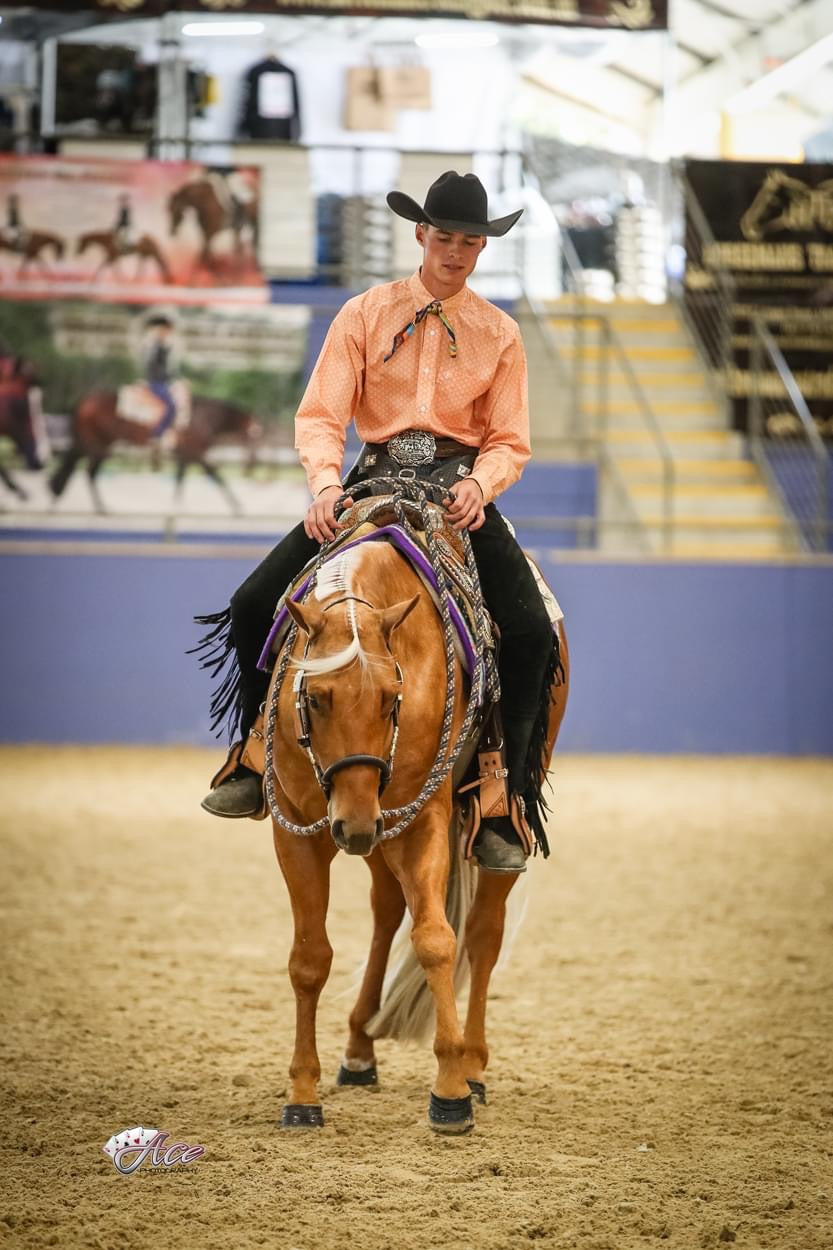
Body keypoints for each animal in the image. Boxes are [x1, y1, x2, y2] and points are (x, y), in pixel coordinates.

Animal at [48, 389, 261, 514]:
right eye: (255, 432)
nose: (253, 462)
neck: (205, 417)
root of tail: (84, 401)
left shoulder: (186, 455)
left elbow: (180, 478)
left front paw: (176, 507)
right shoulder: (195, 453)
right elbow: (216, 476)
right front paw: (237, 506)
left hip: (95, 442)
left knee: (76, 465)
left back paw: (58, 494)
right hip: (97, 444)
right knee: (89, 471)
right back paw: (100, 508)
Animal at [262, 497, 569, 1133]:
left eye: (391, 699)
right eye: (314, 697)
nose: (356, 825)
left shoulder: (422, 819)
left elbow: (436, 941)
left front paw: (450, 1090)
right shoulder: (297, 830)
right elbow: (309, 958)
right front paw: (302, 1094)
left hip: (470, 825)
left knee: (482, 933)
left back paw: (474, 1066)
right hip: (379, 835)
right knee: (386, 911)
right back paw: (358, 1049)